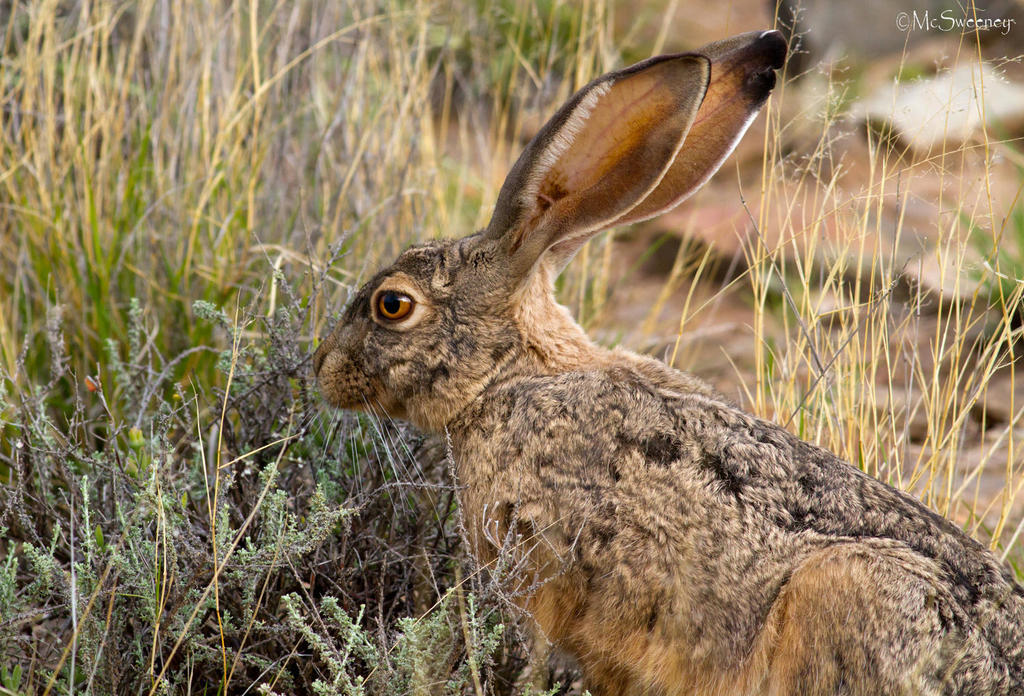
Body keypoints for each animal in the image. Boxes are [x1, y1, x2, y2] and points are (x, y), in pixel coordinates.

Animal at [313, 30, 1024, 696]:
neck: (512, 376)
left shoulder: (543, 572)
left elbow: (534, 658)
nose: (321, 368)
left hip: (854, 593)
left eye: (392, 305)